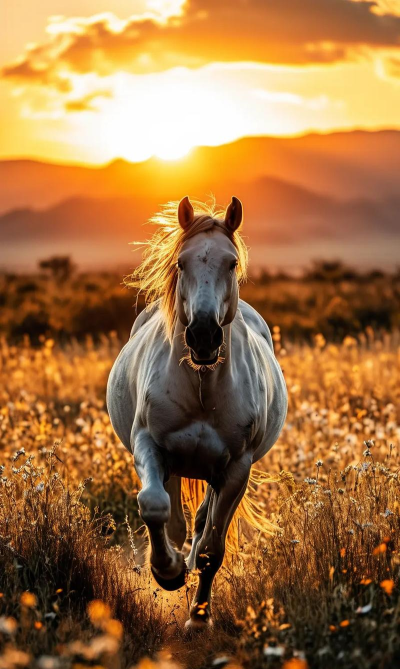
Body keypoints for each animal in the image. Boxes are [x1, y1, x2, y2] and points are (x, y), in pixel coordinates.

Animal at [106, 196, 288, 629]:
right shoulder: (149, 444)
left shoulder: (237, 468)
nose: (203, 335)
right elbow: (154, 506)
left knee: (203, 524)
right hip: (173, 463)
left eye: (232, 263)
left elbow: (211, 550)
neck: (203, 388)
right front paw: (167, 572)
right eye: (181, 262)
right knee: (172, 516)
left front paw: (199, 617)